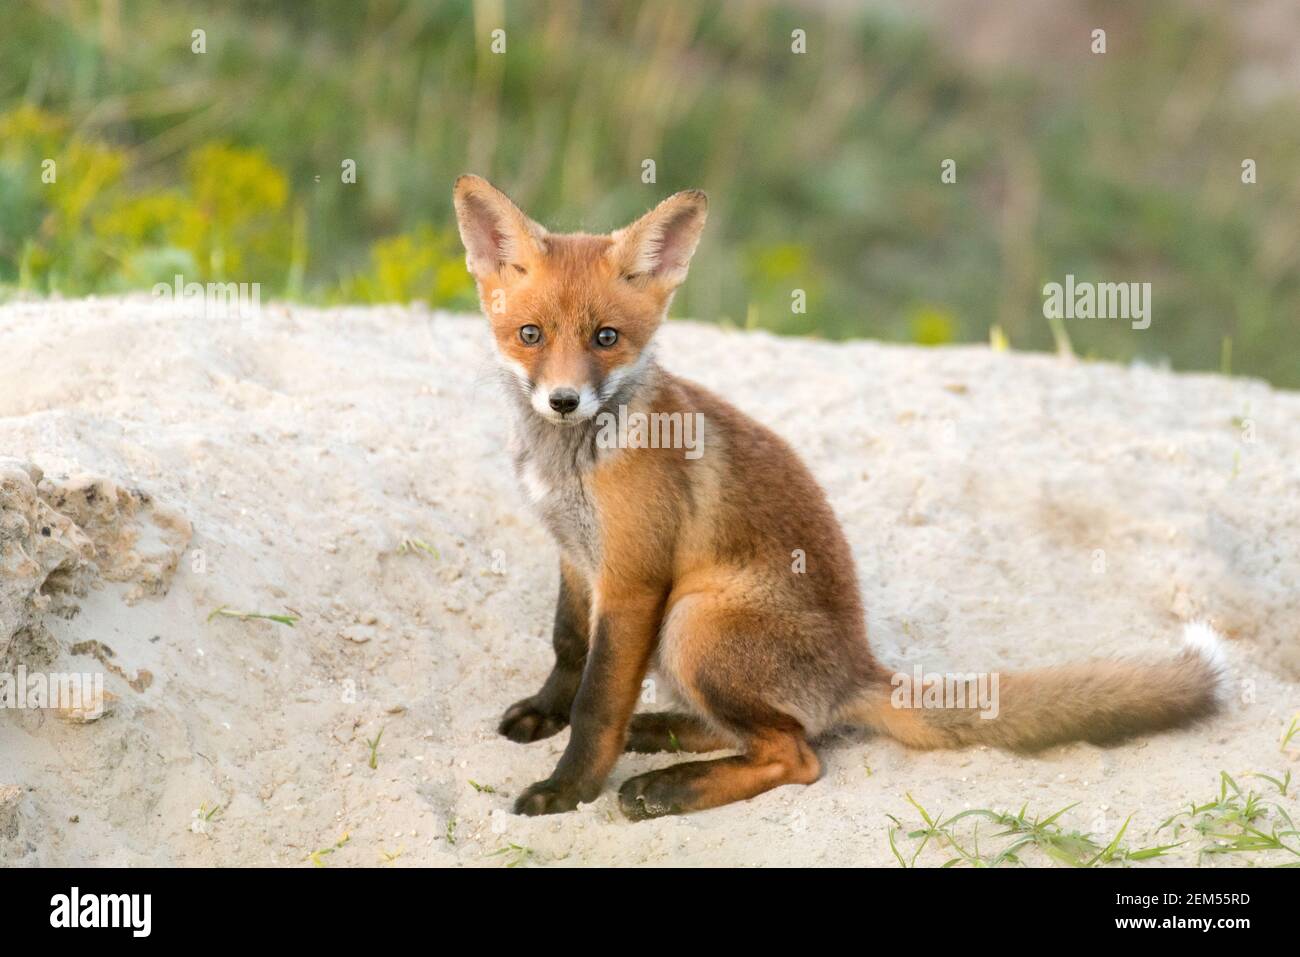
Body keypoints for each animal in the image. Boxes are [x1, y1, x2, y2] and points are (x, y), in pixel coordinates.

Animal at [452, 173, 1228, 819]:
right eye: (530, 334)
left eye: (606, 337)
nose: (563, 400)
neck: (567, 464)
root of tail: (857, 670)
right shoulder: (577, 557)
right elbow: (567, 647)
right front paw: (543, 715)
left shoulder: (633, 580)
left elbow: (598, 701)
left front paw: (569, 787)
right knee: (767, 730)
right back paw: (665, 735)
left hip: (693, 620)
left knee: (797, 753)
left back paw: (669, 787)